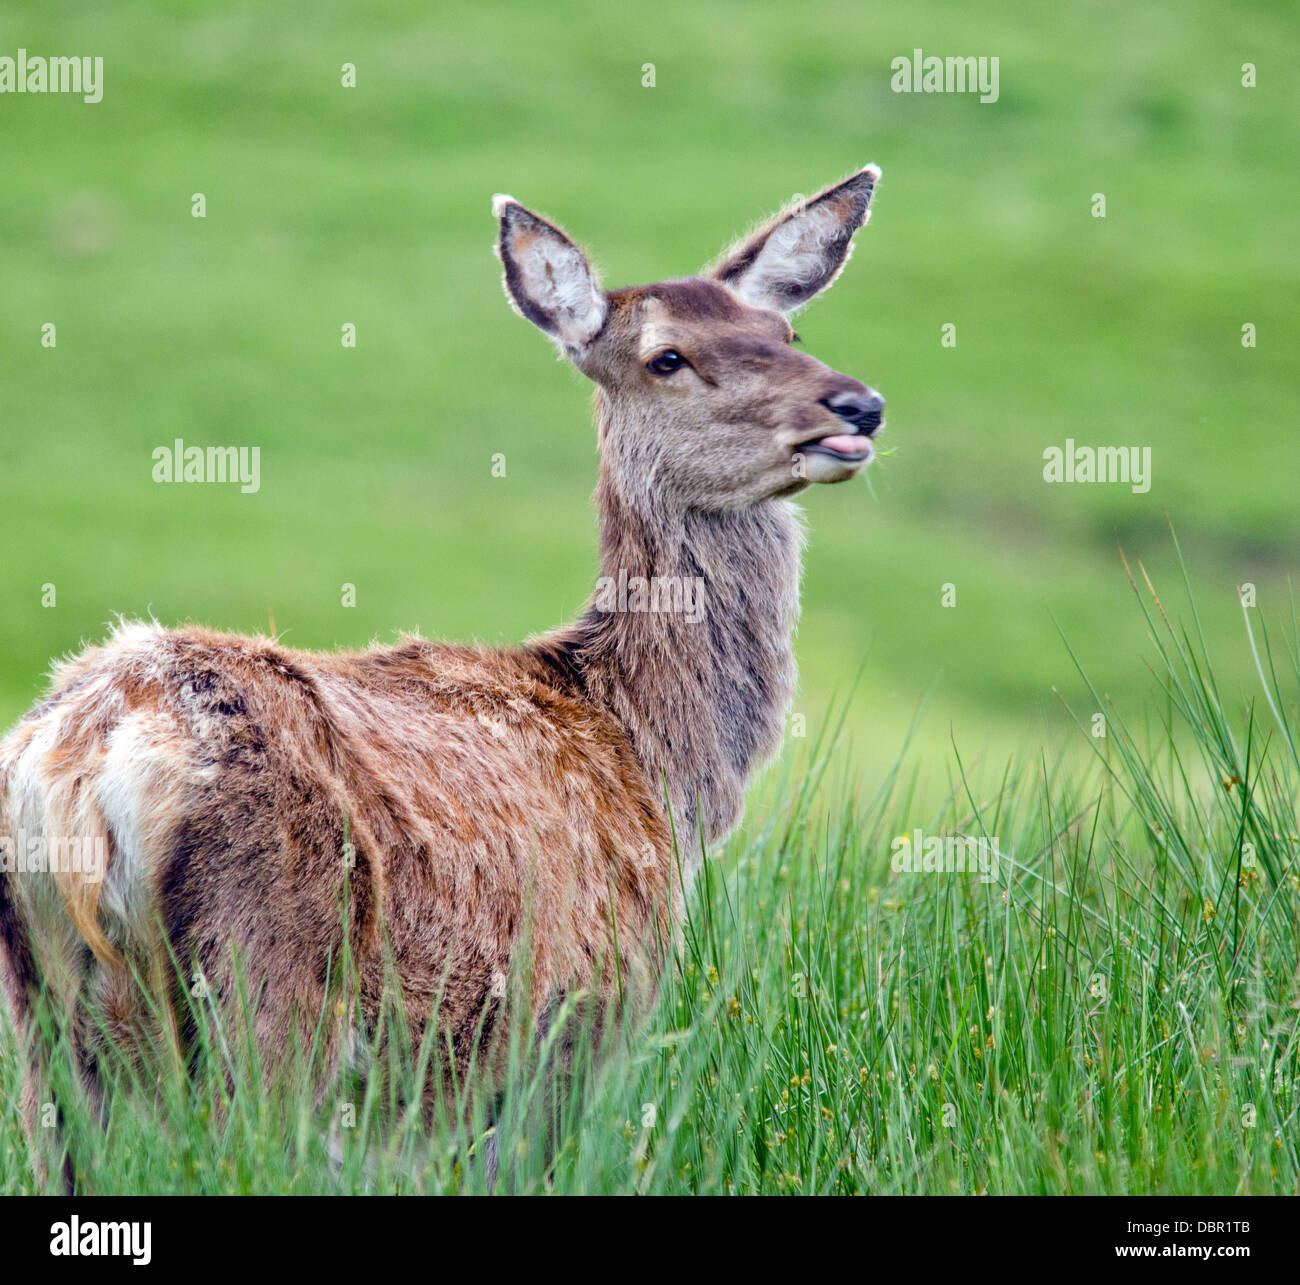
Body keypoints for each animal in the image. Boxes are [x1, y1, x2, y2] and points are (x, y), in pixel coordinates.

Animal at [0, 165, 886, 1185]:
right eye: (668, 356)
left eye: (786, 335)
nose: (857, 406)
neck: (647, 757)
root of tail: (83, 766)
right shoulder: (576, 1021)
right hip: (269, 991)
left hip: (48, 1030)